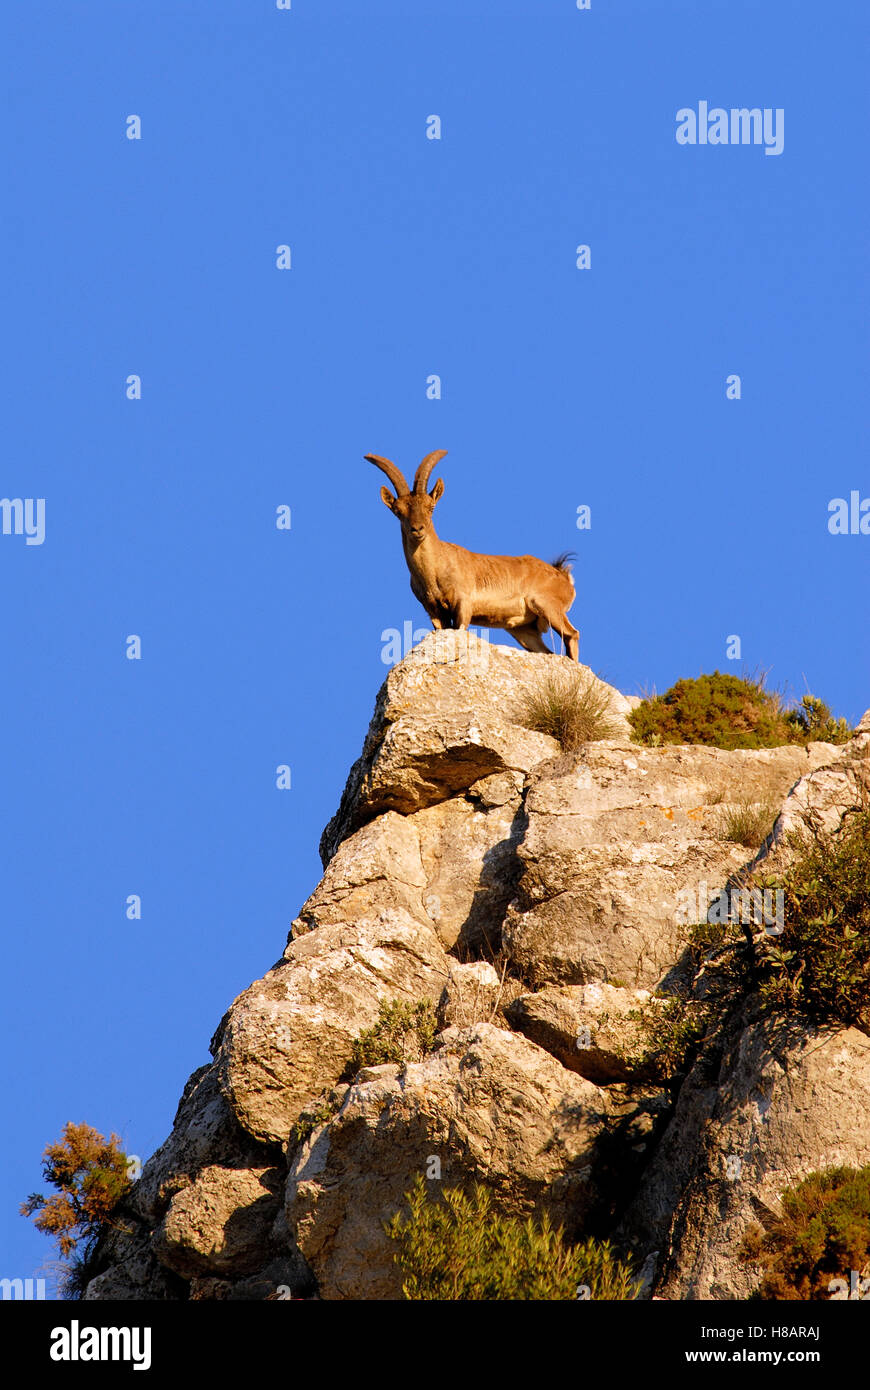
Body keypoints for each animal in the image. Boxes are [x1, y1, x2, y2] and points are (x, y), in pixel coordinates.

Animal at [365, 449, 580, 660]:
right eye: (398, 511)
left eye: (431, 507)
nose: (417, 529)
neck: (435, 569)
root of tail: (563, 577)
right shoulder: (434, 611)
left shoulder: (463, 603)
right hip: (524, 629)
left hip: (548, 606)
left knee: (572, 634)